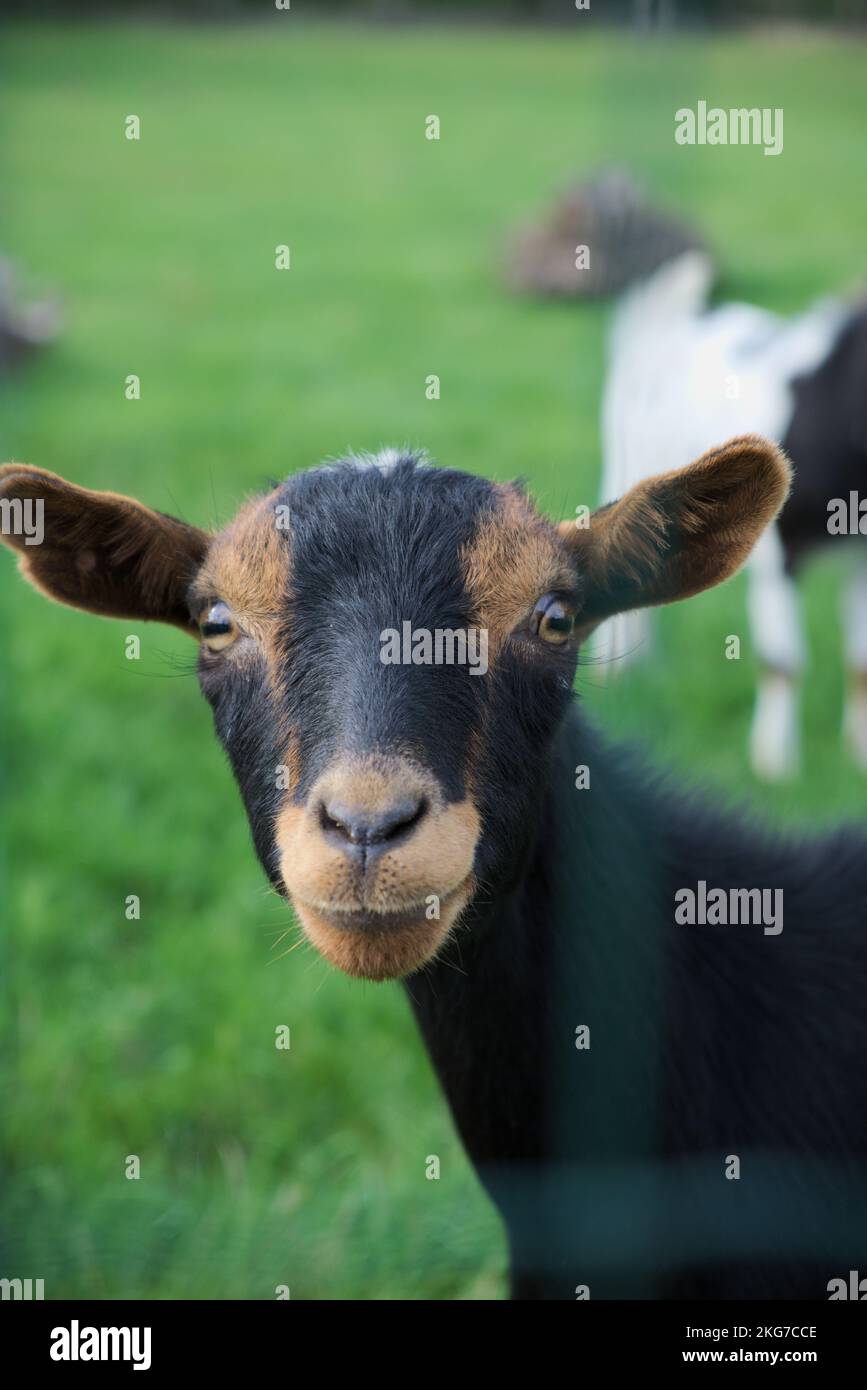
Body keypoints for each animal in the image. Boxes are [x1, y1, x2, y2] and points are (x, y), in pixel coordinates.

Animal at [599, 250, 867, 780]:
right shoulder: (777, 550)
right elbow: (783, 659)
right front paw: (775, 764)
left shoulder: (862, 554)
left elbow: (860, 659)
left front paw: (859, 754)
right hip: (627, 460)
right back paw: (618, 672)